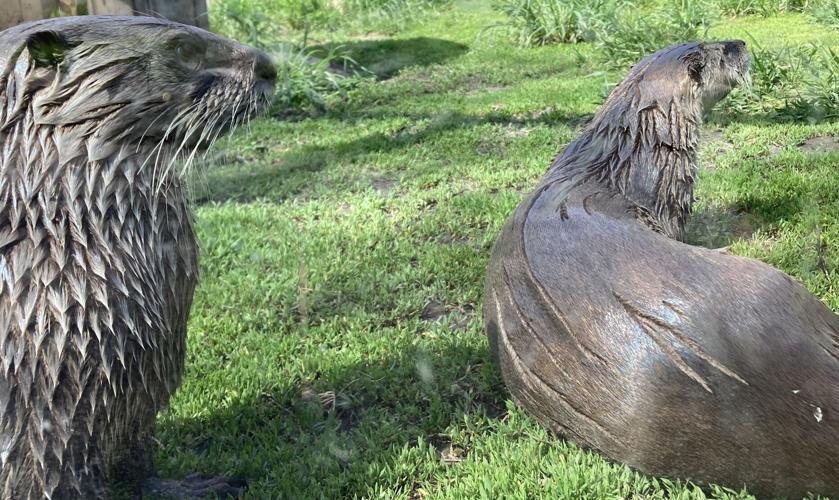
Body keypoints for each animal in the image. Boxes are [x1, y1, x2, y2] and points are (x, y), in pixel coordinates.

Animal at [0, 16, 275, 498]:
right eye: (183, 47)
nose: (270, 67)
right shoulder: (43, 419)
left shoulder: (140, 387)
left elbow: (137, 456)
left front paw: (189, 486)